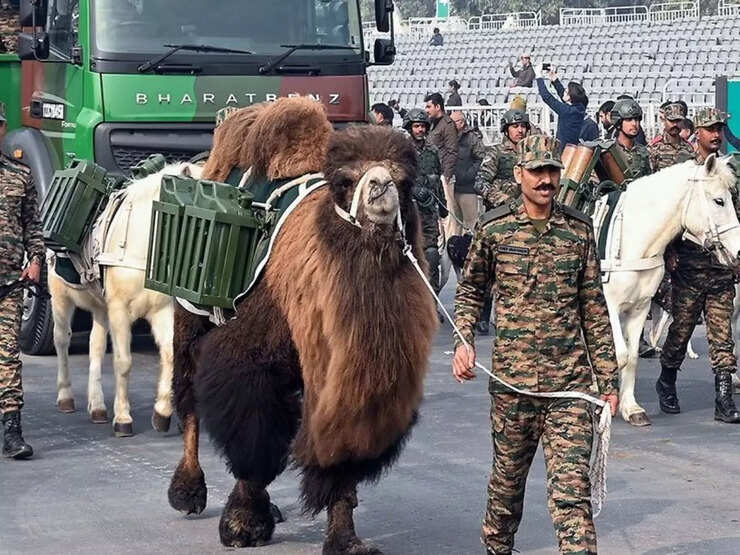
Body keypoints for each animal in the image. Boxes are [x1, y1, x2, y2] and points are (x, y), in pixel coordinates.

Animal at [49, 162, 201, 436]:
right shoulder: (119, 311)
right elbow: (123, 362)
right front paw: (123, 418)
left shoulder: (162, 310)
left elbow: (169, 354)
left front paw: (162, 413)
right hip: (60, 298)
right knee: (61, 340)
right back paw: (66, 396)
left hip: (100, 308)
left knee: (96, 347)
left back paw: (97, 406)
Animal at [166, 98, 438, 553]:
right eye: (345, 181)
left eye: (405, 182)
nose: (380, 187)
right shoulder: (251, 360)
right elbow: (254, 437)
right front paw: (243, 524)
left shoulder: (347, 387)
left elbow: (340, 458)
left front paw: (347, 541)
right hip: (190, 317)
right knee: (188, 399)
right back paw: (187, 492)